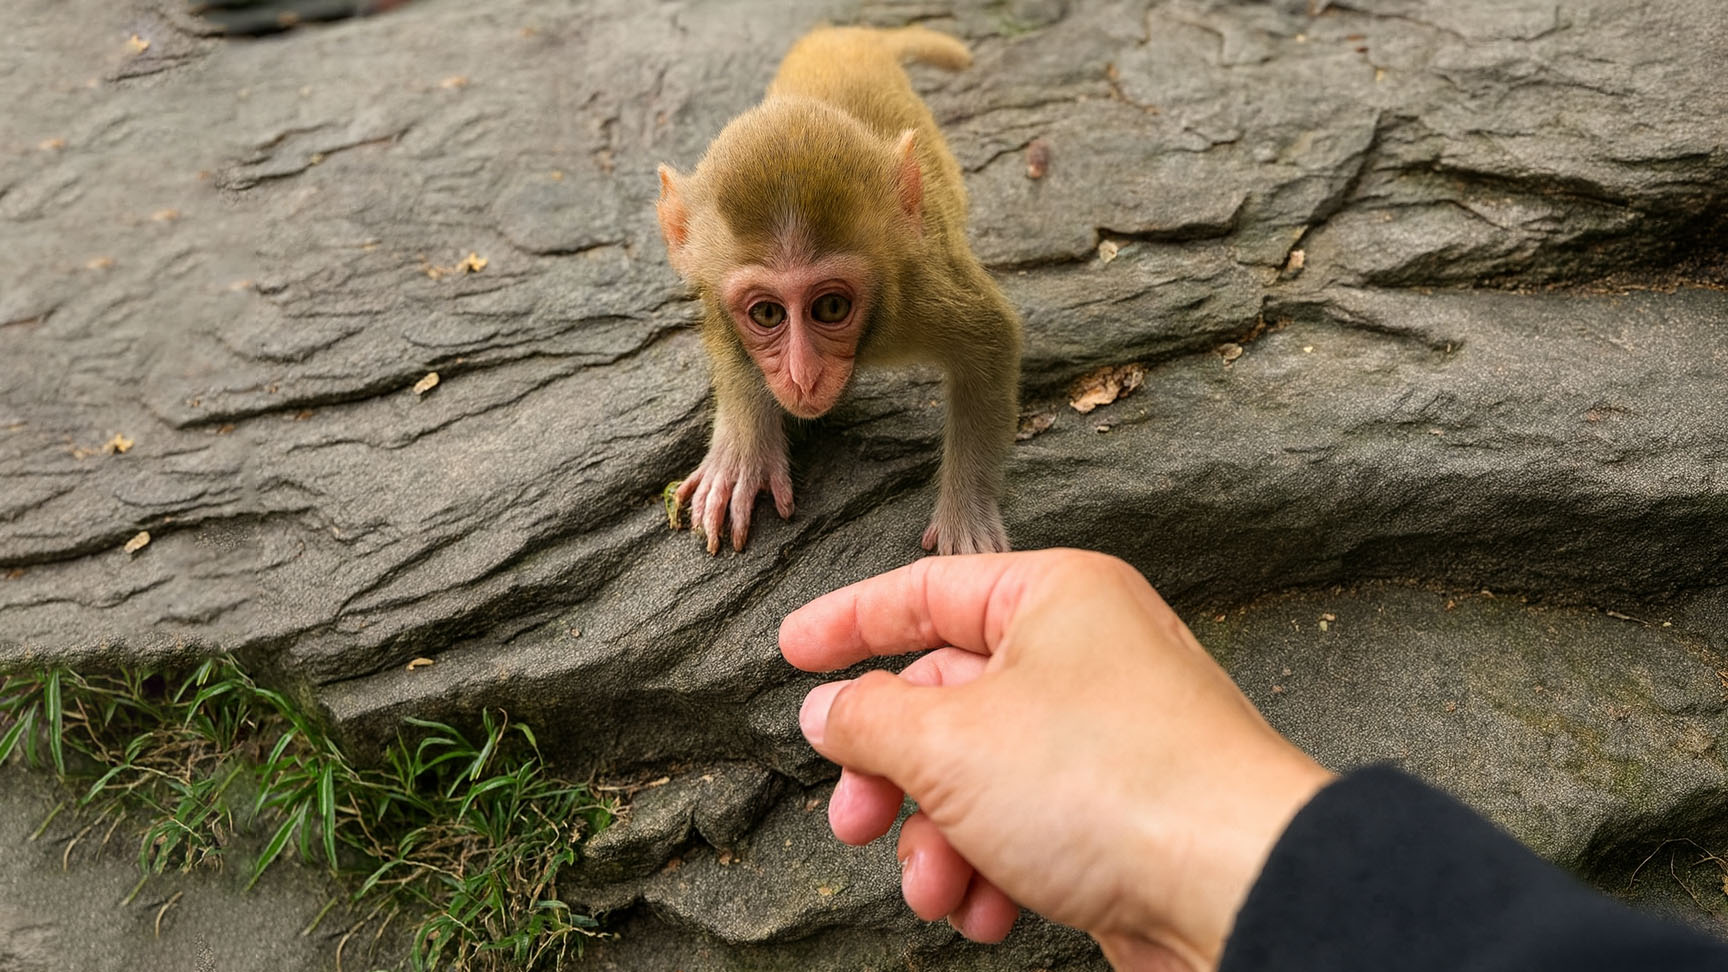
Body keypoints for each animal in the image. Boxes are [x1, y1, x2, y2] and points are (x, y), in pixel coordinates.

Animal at [657, 25, 1023, 556]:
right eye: (767, 314)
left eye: (830, 307)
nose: (804, 377)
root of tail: (848, 32)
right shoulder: (710, 282)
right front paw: (743, 451)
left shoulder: (917, 294)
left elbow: (992, 340)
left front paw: (965, 518)